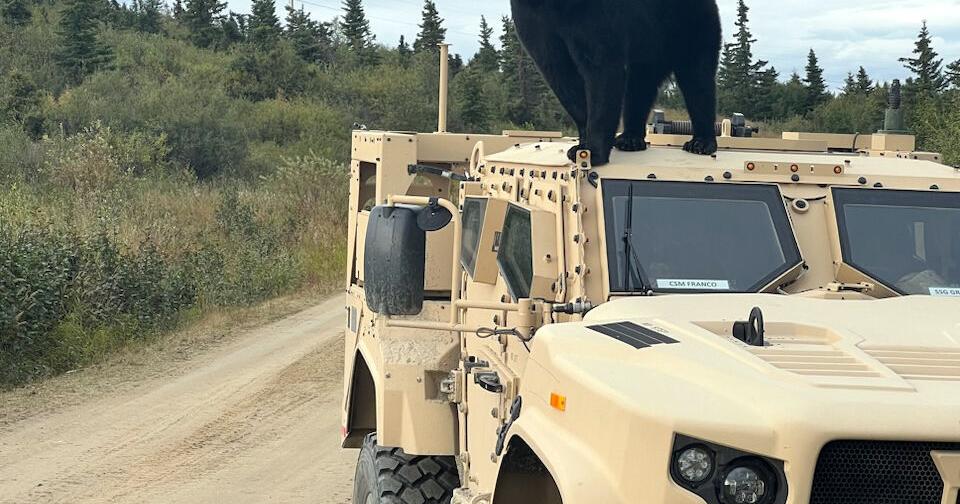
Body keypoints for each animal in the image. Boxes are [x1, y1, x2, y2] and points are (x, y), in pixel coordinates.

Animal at [511, 0, 722, 166]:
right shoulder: (534, 20)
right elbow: (562, 77)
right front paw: (581, 146)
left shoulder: (592, 15)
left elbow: (601, 67)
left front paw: (593, 152)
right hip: (649, 46)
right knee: (639, 87)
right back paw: (630, 139)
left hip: (687, 25)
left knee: (697, 80)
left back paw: (701, 143)